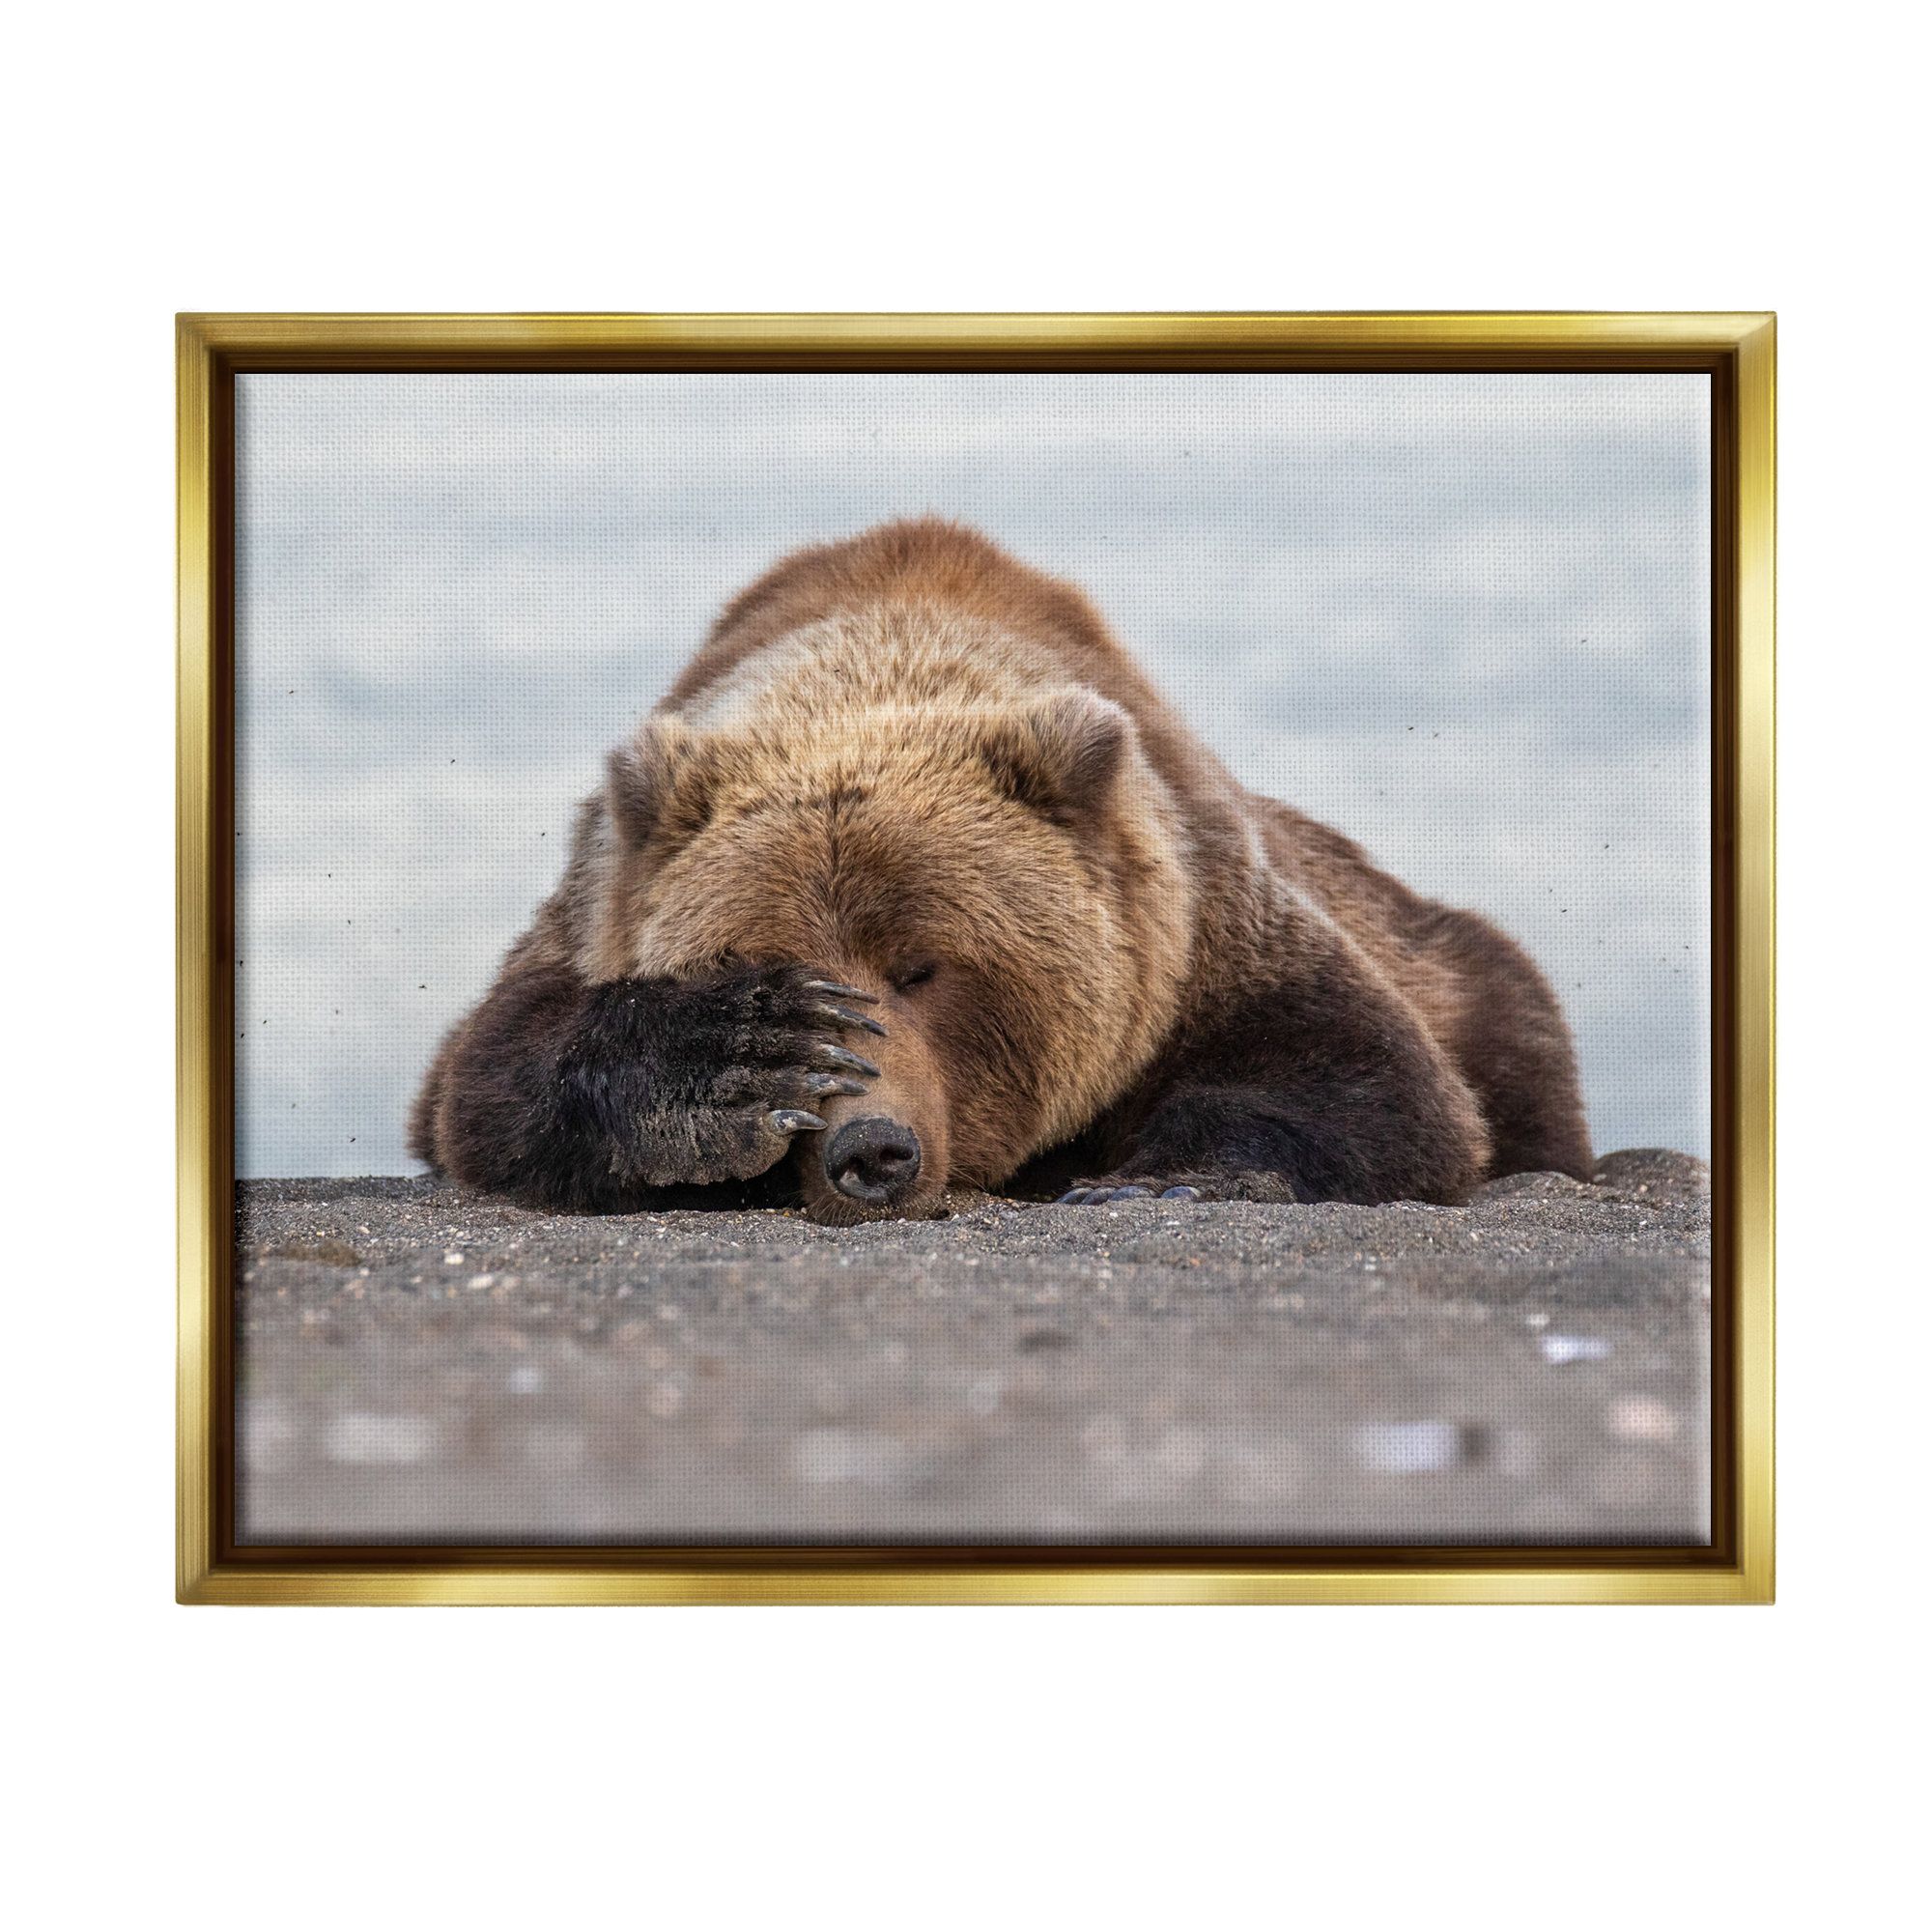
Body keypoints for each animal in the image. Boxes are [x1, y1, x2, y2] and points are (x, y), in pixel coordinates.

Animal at [409, 517, 1592, 1224]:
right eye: (767, 961)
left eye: (924, 967)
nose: (869, 1152)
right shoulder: (594, 904)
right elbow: (491, 1074)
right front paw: (732, 1061)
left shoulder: (1197, 927)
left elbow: (1367, 1080)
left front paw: (1156, 1178)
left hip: (1454, 961)